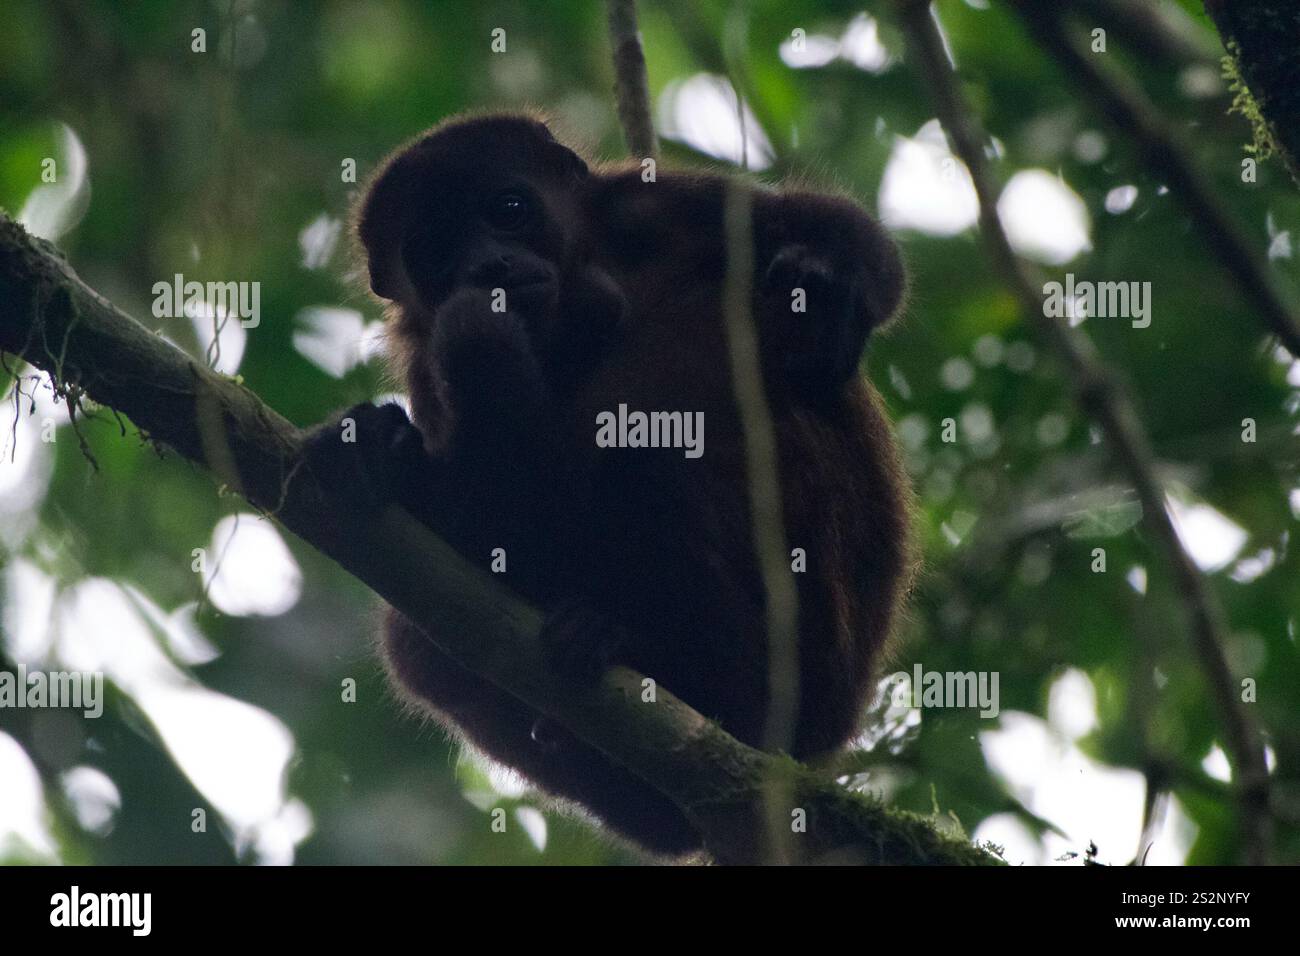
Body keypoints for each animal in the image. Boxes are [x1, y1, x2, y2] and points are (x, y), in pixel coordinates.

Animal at [306, 113, 913, 857]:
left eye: (509, 209)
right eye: (433, 250)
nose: (490, 265)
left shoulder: (653, 205)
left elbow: (849, 237)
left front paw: (828, 285)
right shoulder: (422, 358)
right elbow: (495, 529)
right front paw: (383, 446)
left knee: (655, 448)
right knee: (415, 644)